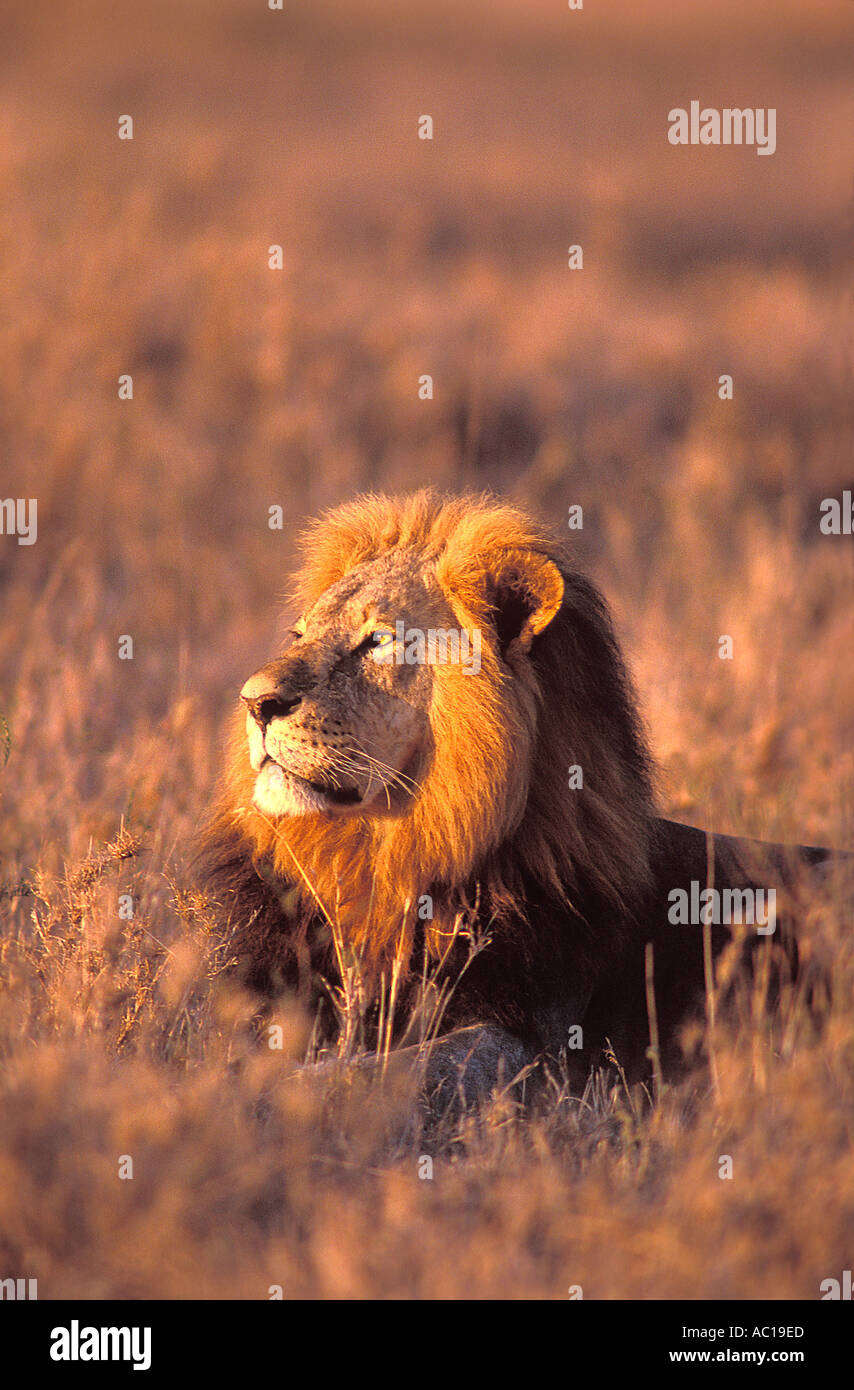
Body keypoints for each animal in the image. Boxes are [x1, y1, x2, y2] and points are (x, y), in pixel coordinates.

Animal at [196, 488, 849, 1112]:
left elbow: (377, 1073)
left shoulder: (531, 1045)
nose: (254, 702)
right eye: (299, 634)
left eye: (378, 640)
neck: (382, 858)